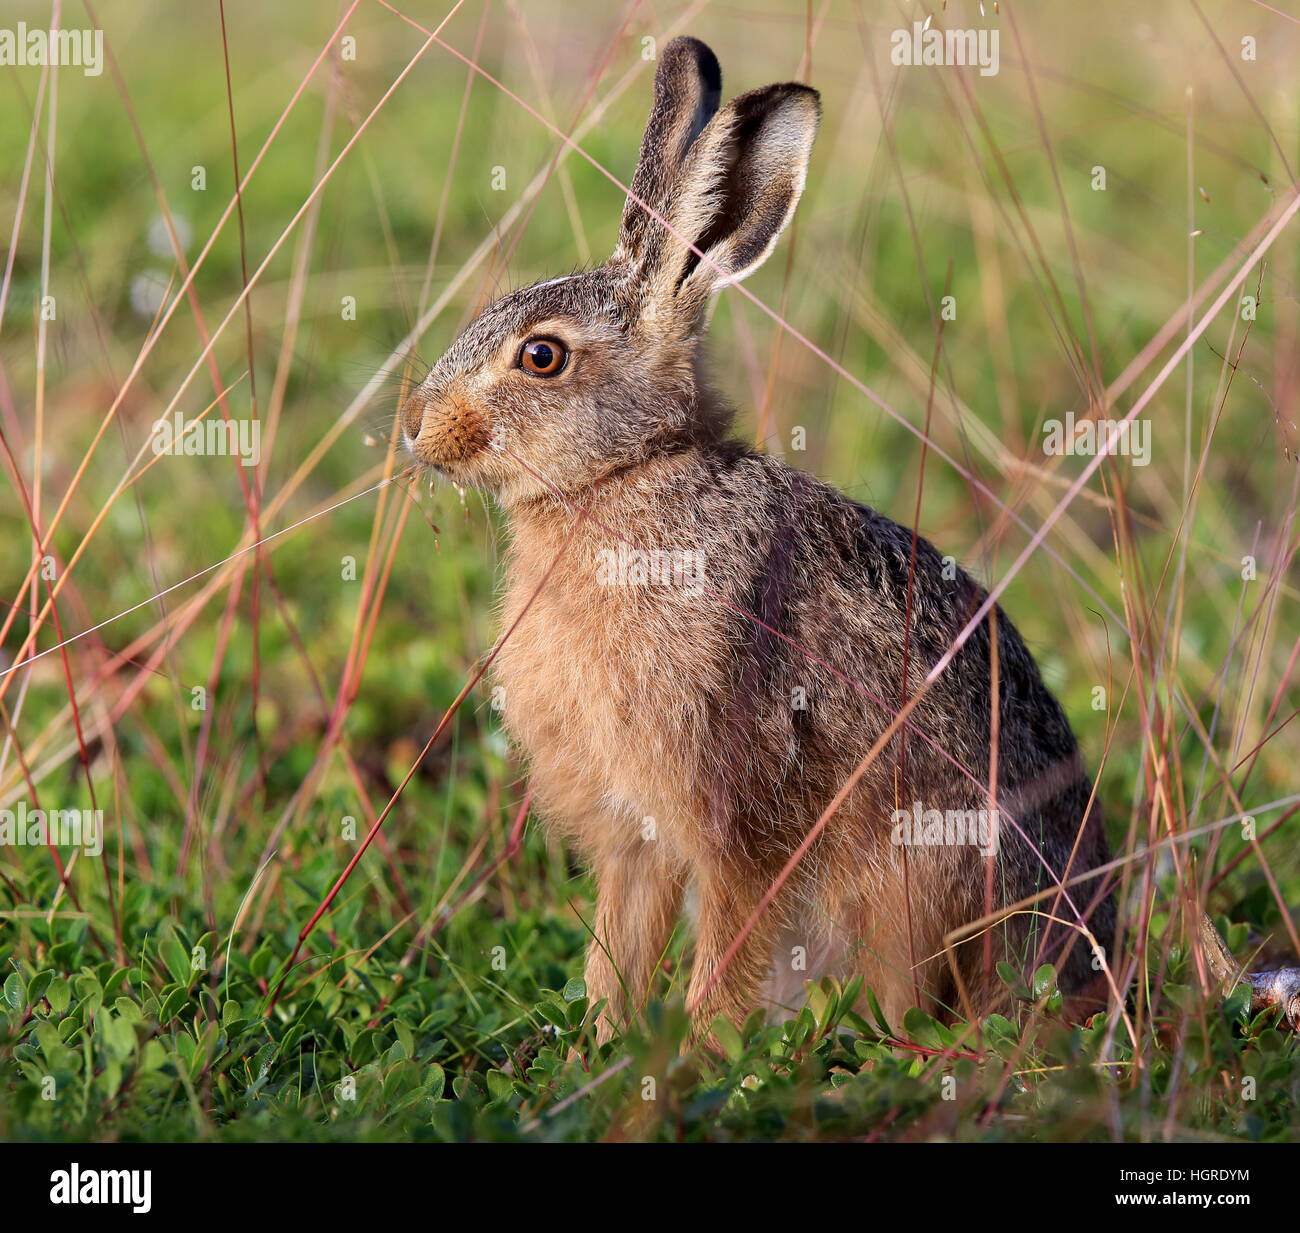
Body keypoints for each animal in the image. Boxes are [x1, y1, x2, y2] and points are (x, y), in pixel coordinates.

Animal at [400, 35, 1116, 1043]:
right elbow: (616, 953)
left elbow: (723, 959)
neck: (627, 476)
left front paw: (697, 1054)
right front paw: (603, 1049)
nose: (416, 425)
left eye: (541, 356)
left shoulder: (740, 822)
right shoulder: (635, 839)